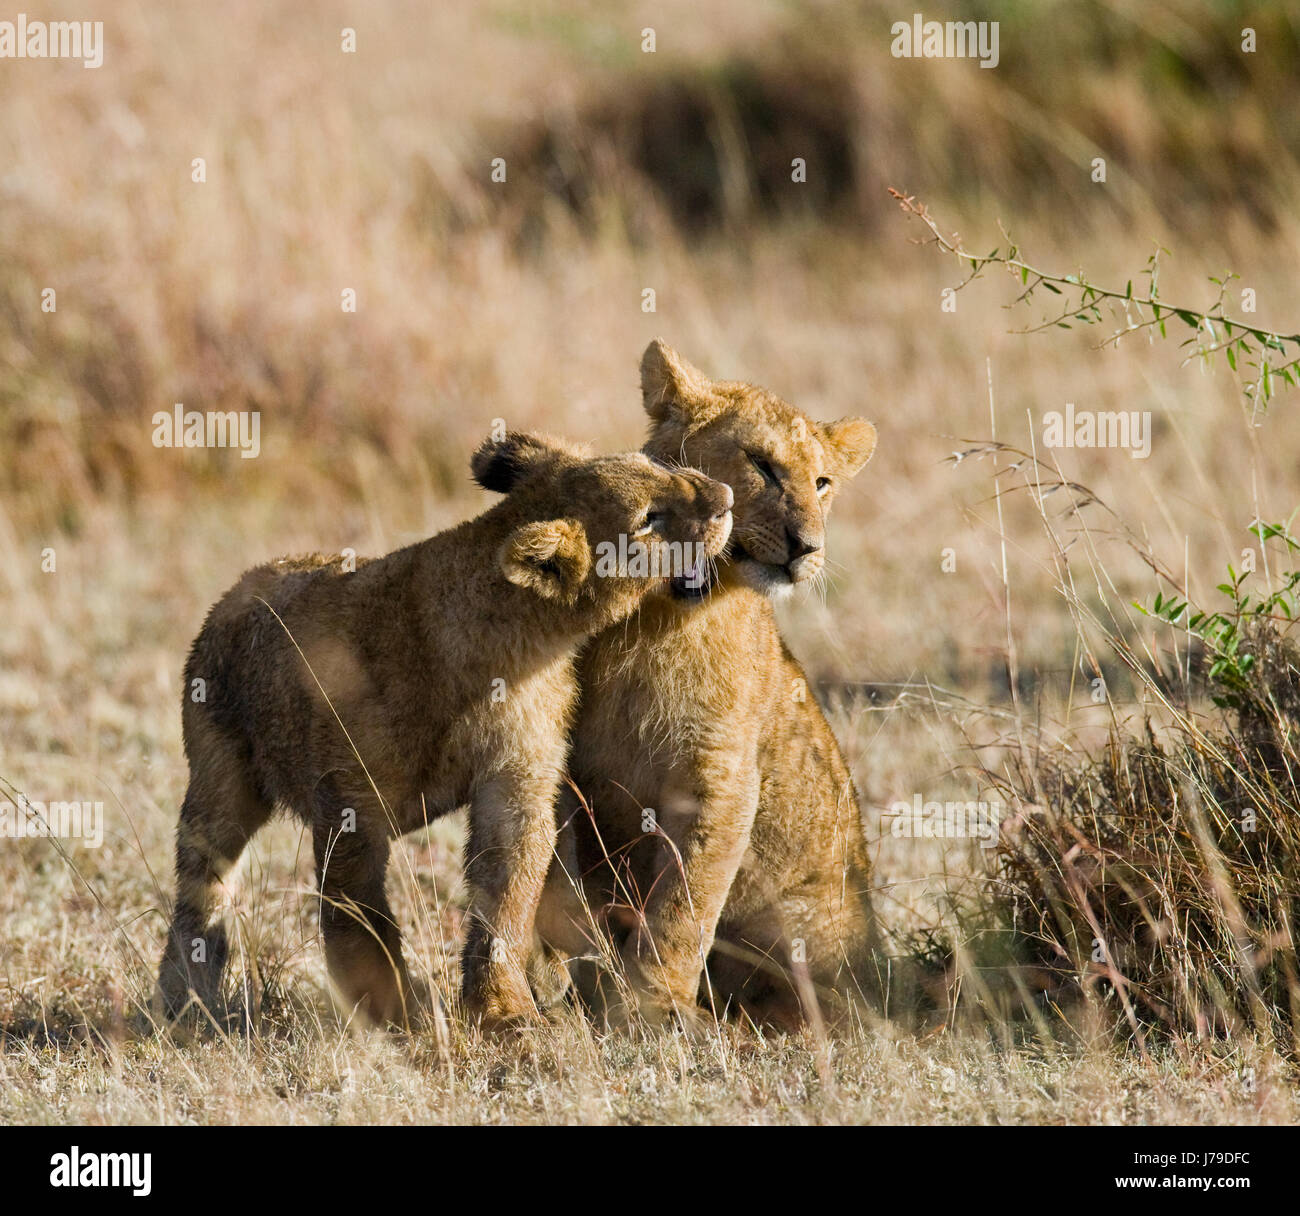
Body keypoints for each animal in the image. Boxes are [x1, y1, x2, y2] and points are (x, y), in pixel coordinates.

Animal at [155, 431, 733, 1029]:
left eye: (653, 464)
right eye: (649, 519)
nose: (727, 497)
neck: (503, 647)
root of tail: (242, 584)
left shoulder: (517, 777)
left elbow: (507, 896)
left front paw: (503, 1012)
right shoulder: (349, 801)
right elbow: (357, 915)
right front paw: (391, 1008)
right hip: (220, 779)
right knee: (203, 885)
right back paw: (185, 1000)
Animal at [531, 342, 881, 1030]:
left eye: (822, 483)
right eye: (763, 466)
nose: (808, 548)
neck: (663, 610)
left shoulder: (719, 777)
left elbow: (684, 903)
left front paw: (652, 1006)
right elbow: (558, 872)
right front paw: (557, 970)